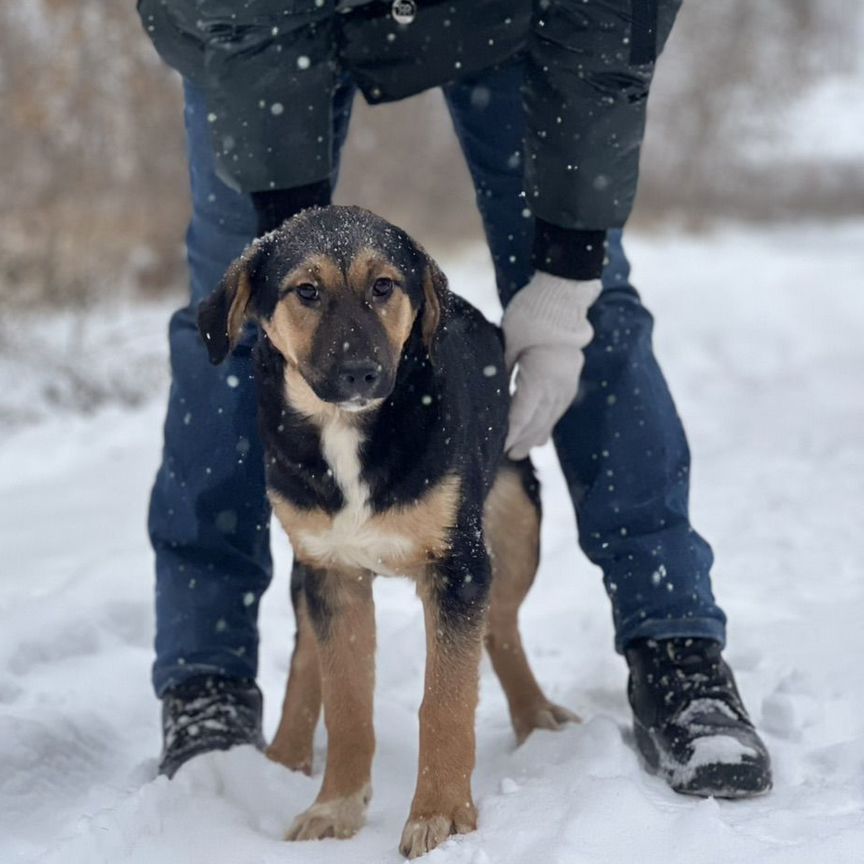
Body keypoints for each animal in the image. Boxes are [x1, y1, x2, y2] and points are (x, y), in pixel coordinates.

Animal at [199, 204, 576, 856]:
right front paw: (334, 807)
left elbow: (446, 700)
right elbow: (346, 700)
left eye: (383, 287)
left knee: (501, 624)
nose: (360, 375)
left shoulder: (457, 569)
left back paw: (535, 717)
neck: (345, 432)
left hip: (515, 524)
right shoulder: (332, 572)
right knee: (306, 651)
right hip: (309, 567)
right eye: (306, 291)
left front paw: (442, 815)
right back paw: (285, 756)